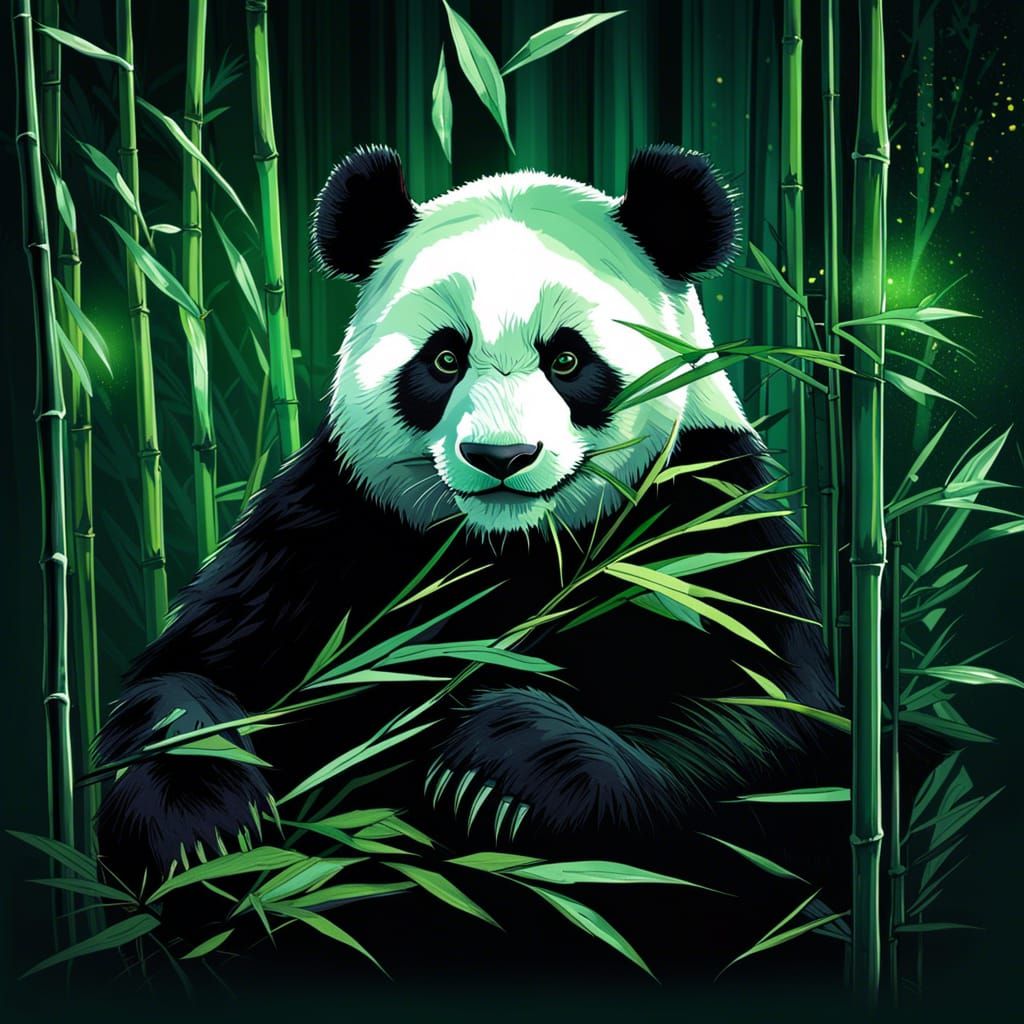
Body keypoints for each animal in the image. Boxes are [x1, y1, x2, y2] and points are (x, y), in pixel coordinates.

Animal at [96, 144, 846, 971]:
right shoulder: (327, 528)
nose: (501, 457)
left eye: (567, 358)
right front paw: (202, 828)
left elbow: (776, 755)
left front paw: (505, 763)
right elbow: (193, 671)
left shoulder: (709, 531)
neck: (514, 543)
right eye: (445, 358)